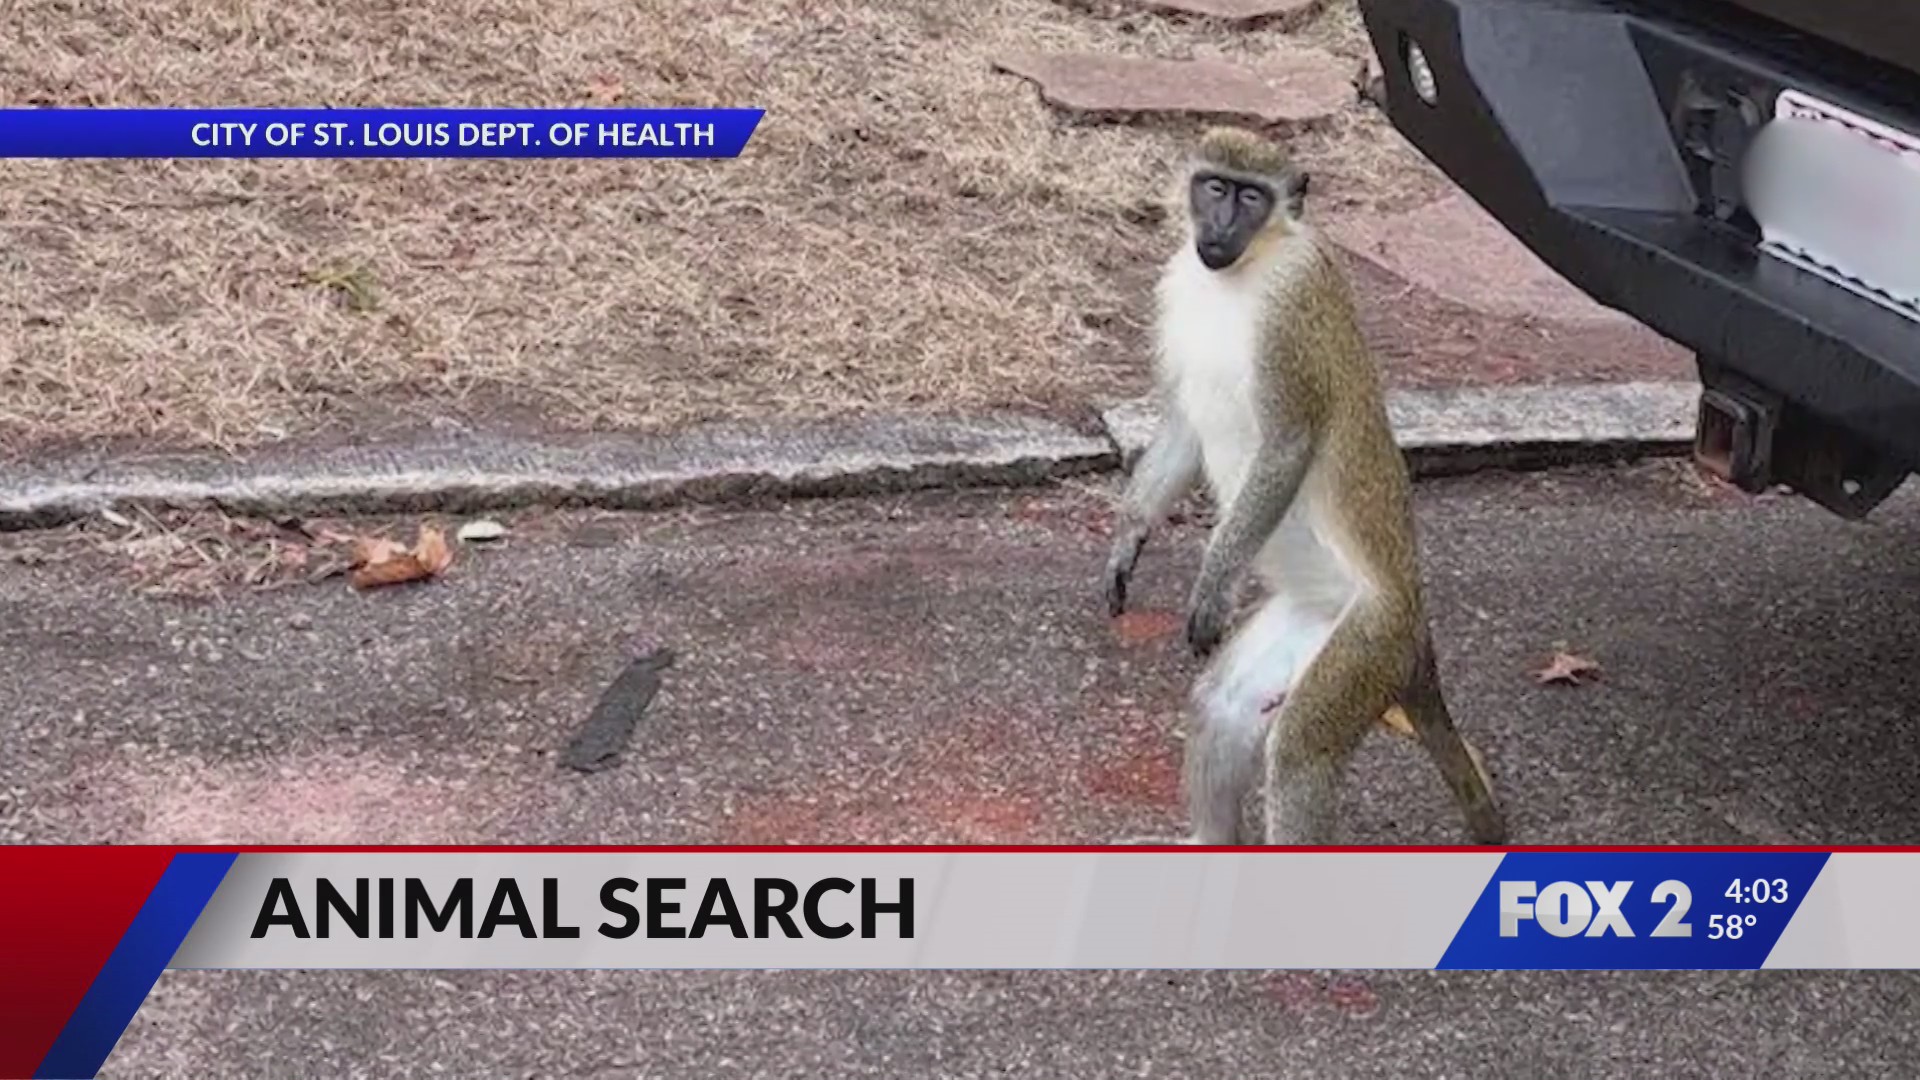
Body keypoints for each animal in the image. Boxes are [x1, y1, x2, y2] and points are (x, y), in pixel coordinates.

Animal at [1103, 126, 1507, 847]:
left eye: (1250, 196)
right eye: (1214, 186)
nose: (1220, 226)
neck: (1241, 272)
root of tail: (1417, 631)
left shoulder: (1292, 307)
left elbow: (1288, 444)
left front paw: (1214, 579)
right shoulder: (1177, 286)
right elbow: (1183, 426)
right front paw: (1130, 537)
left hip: (1370, 641)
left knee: (1297, 751)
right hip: (1310, 626)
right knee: (1222, 709)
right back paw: (1210, 843)